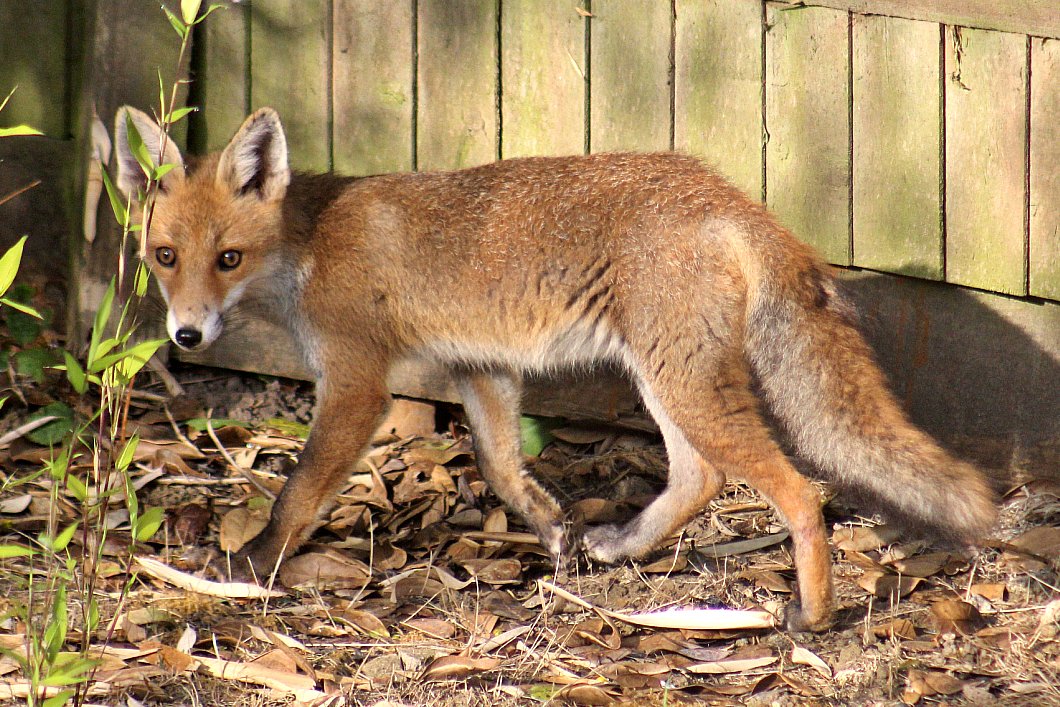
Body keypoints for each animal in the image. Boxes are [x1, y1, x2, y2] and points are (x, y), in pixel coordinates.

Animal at [113, 106, 997, 631]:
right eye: (165, 256)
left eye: (228, 258)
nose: (187, 333)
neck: (310, 244)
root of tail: (732, 195)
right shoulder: (480, 368)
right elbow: (505, 470)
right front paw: (552, 529)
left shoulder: (358, 381)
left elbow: (297, 491)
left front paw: (249, 568)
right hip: (664, 377)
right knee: (701, 477)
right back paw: (622, 546)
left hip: (682, 384)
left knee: (800, 491)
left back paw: (813, 616)